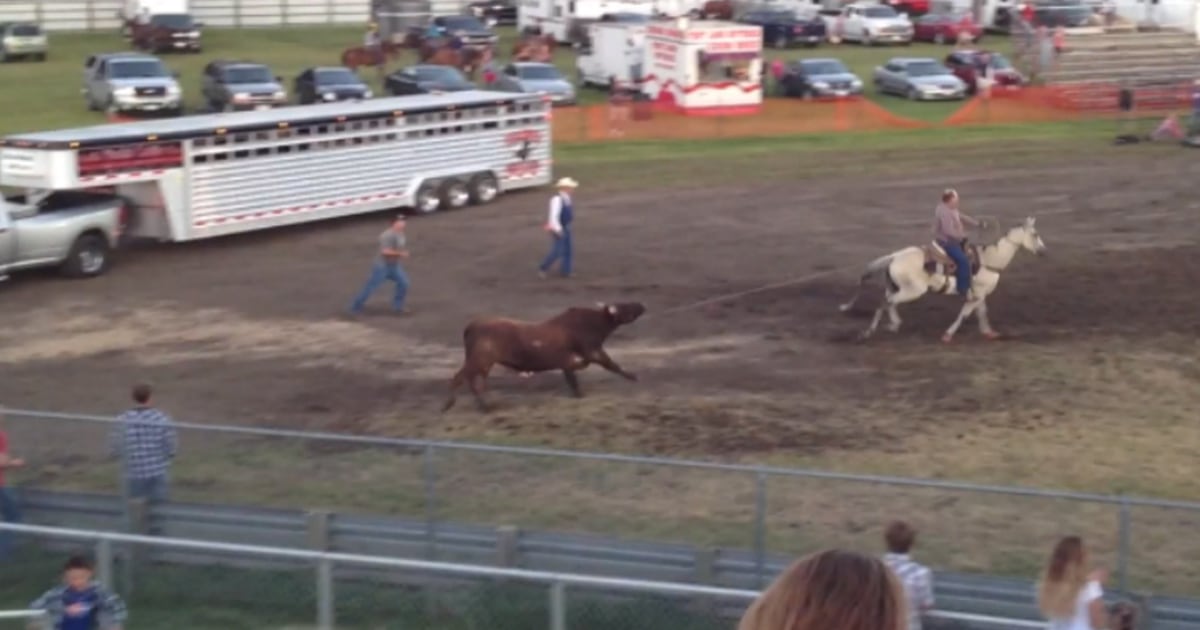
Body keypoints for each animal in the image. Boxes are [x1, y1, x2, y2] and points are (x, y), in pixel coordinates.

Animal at [442, 302, 647, 412]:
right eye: (623, 307)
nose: (641, 305)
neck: (593, 324)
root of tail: (471, 327)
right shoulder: (591, 352)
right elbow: (610, 365)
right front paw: (634, 377)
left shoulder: (572, 361)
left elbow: (575, 377)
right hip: (480, 360)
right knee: (460, 377)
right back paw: (450, 404)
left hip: (482, 362)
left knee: (474, 381)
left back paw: (485, 406)